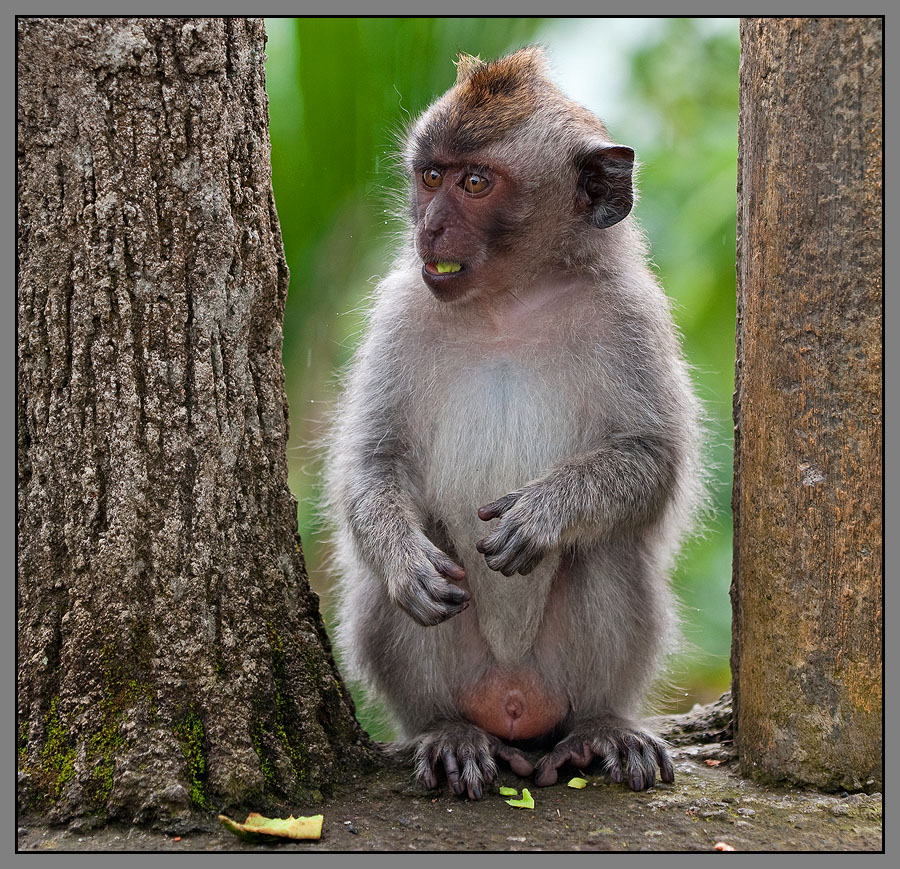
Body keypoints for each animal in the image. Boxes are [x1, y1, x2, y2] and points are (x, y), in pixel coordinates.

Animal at [324, 46, 704, 801]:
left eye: (475, 183)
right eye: (430, 176)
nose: (429, 228)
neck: (510, 302)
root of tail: (515, 709)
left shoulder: (632, 313)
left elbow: (653, 458)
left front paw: (544, 513)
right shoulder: (401, 308)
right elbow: (375, 460)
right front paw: (404, 558)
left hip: (555, 674)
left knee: (606, 550)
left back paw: (598, 728)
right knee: (406, 582)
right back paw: (448, 731)